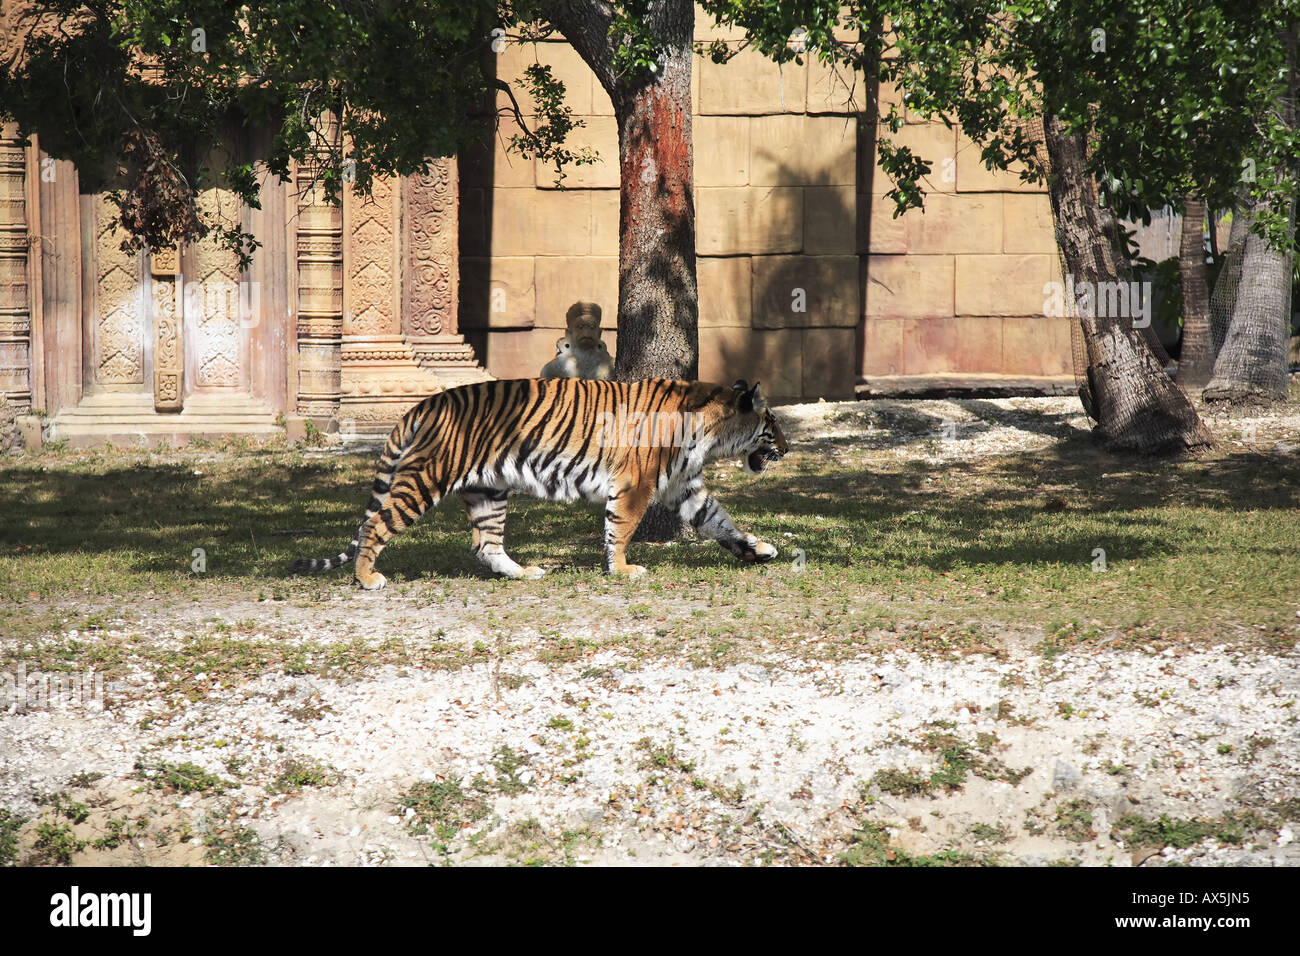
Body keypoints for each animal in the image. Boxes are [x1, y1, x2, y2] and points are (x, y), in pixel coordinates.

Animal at [291, 377, 788, 589]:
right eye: (772, 424)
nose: (788, 446)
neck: (710, 430)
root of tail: (425, 404)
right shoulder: (636, 484)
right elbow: (621, 529)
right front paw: (622, 570)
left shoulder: (684, 487)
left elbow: (720, 521)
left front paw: (758, 550)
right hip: (426, 478)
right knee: (375, 524)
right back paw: (367, 578)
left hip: (488, 491)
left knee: (485, 546)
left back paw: (524, 573)